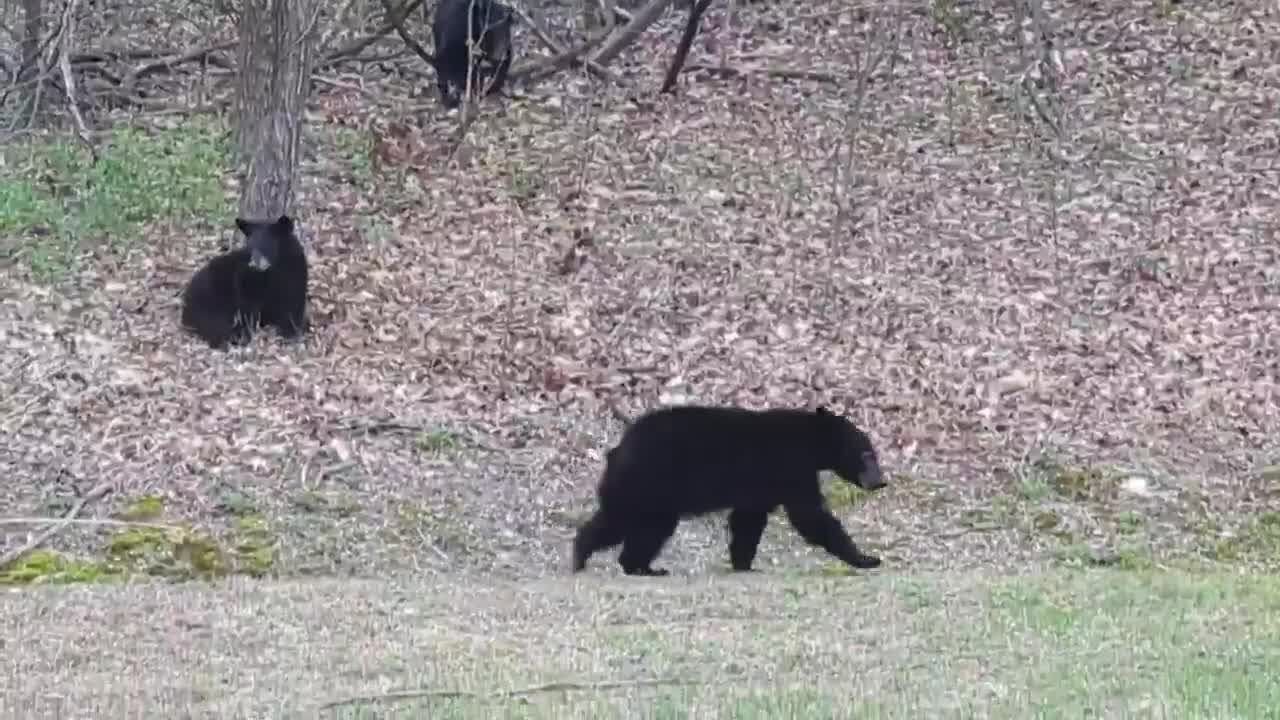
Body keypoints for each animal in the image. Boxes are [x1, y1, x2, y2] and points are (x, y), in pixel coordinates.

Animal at [180, 214, 309, 349]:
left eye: (266, 246)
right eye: (250, 246)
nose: (253, 264)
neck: (275, 270)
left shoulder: (295, 275)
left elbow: (293, 306)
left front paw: (290, 332)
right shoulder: (247, 281)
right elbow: (249, 306)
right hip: (211, 294)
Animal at [572, 404, 888, 577]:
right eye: (866, 454)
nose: (880, 481)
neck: (808, 442)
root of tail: (618, 448)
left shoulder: (762, 486)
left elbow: (749, 521)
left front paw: (743, 563)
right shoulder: (789, 466)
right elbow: (810, 515)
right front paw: (866, 558)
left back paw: (635, 566)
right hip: (649, 483)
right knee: (630, 523)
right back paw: (591, 558)